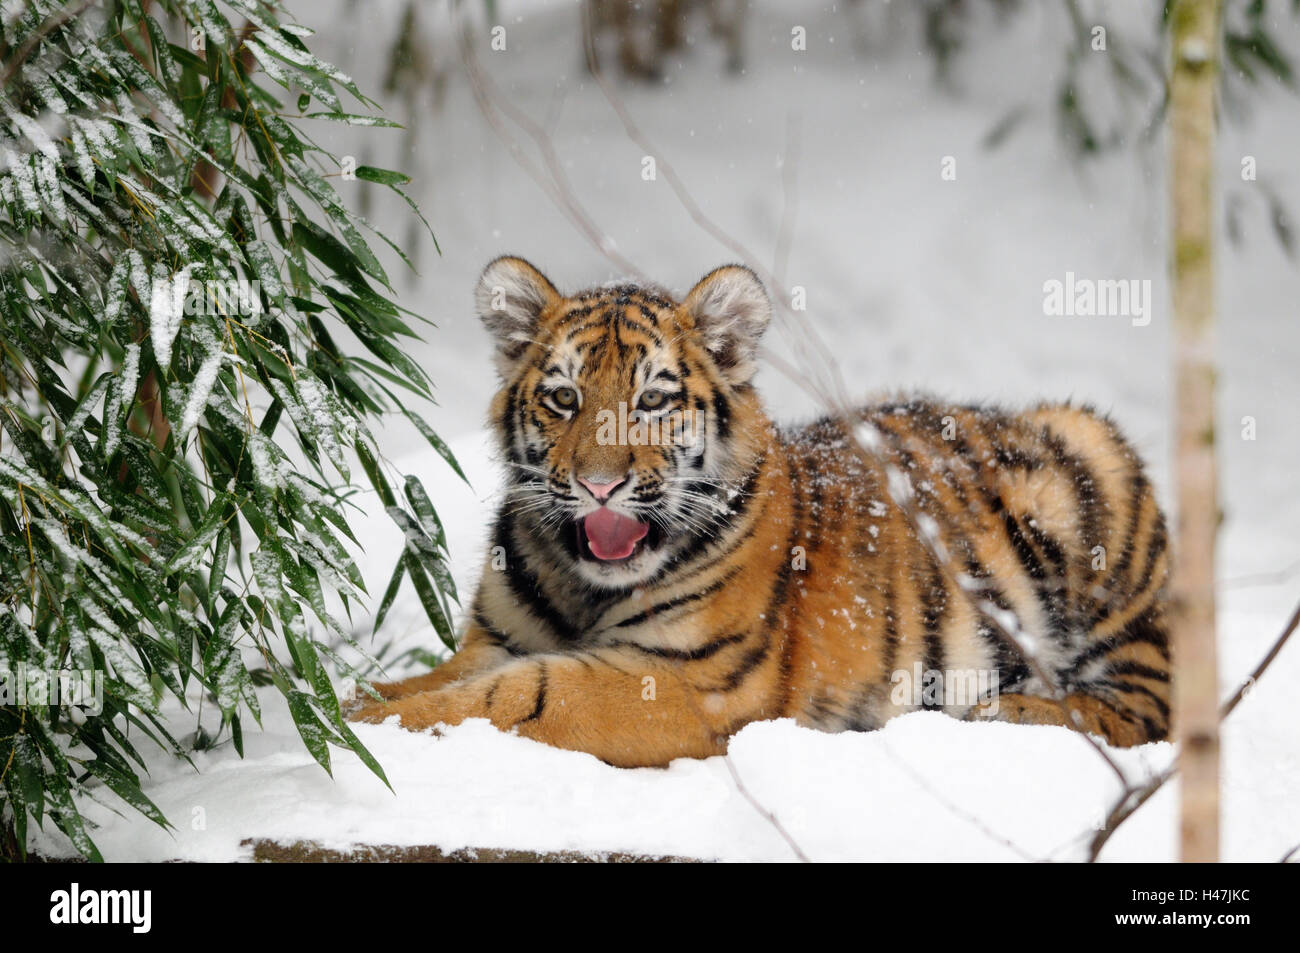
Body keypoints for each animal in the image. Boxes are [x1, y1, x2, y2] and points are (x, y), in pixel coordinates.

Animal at [349, 256, 1172, 767]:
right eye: (563, 397)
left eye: (653, 400)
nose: (599, 486)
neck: (579, 585)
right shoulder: (497, 639)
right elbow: (434, 680)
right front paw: (348, 701)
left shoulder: (683, 682)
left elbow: (516, 697)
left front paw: (364, 728)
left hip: (1092, 469)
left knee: (1145, 705)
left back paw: (1011, 712)